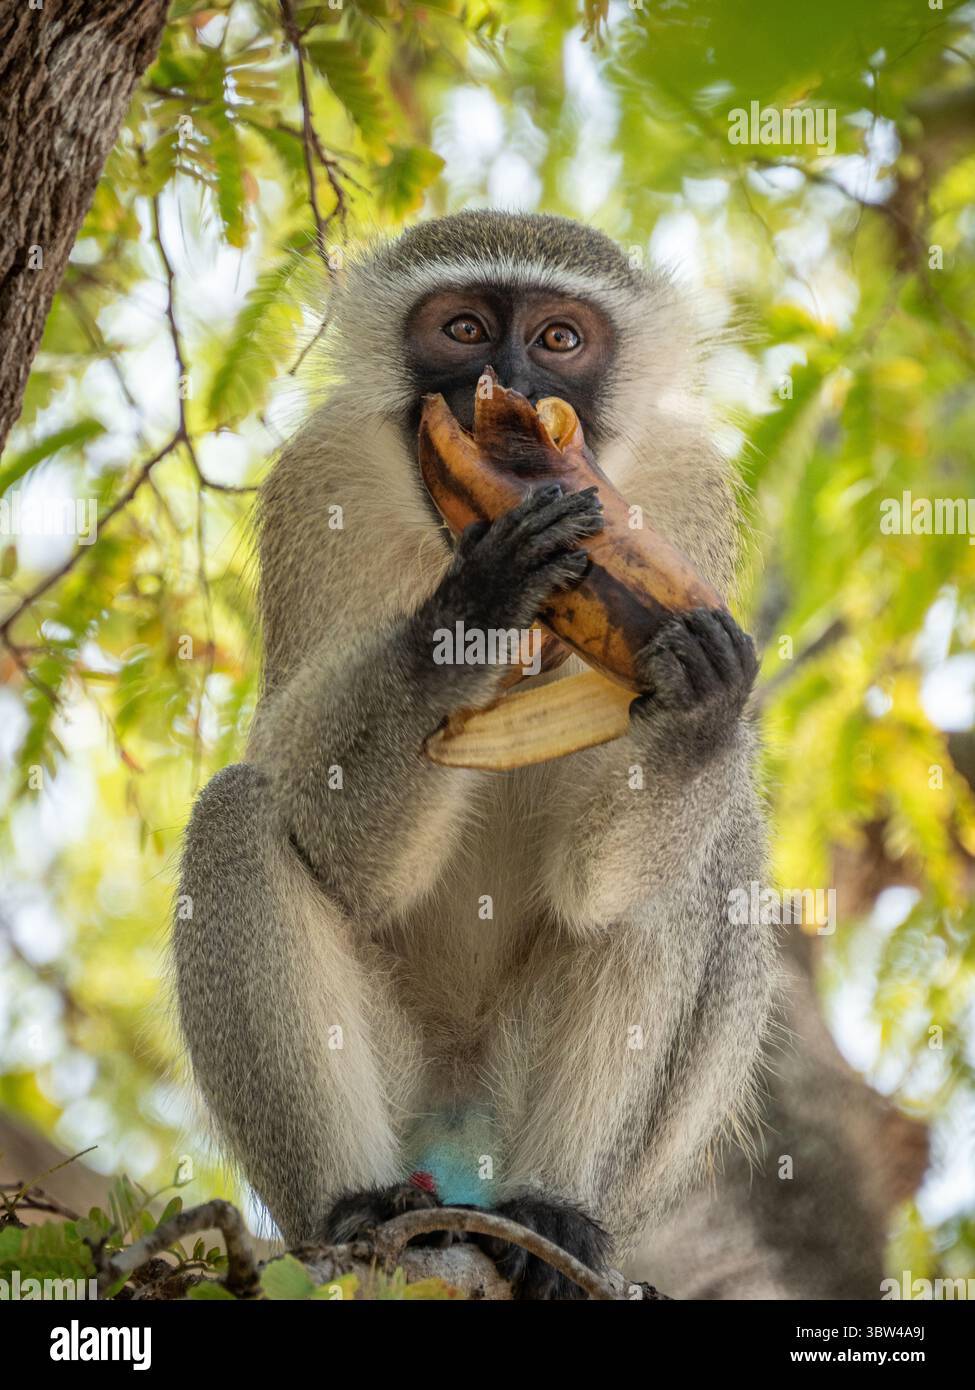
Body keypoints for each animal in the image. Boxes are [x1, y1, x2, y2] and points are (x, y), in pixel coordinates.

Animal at [174, 210, 777, 1299]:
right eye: (461, 328)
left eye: (558, 340)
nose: (504, 387)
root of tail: (456, 1132)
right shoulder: (316, 484)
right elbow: (326, 821)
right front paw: (477, 603)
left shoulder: (688, 493)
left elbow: (600, 884)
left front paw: (703, 698)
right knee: (237, 814)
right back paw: (356, 1209)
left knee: (690, 869)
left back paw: (554, 1219)